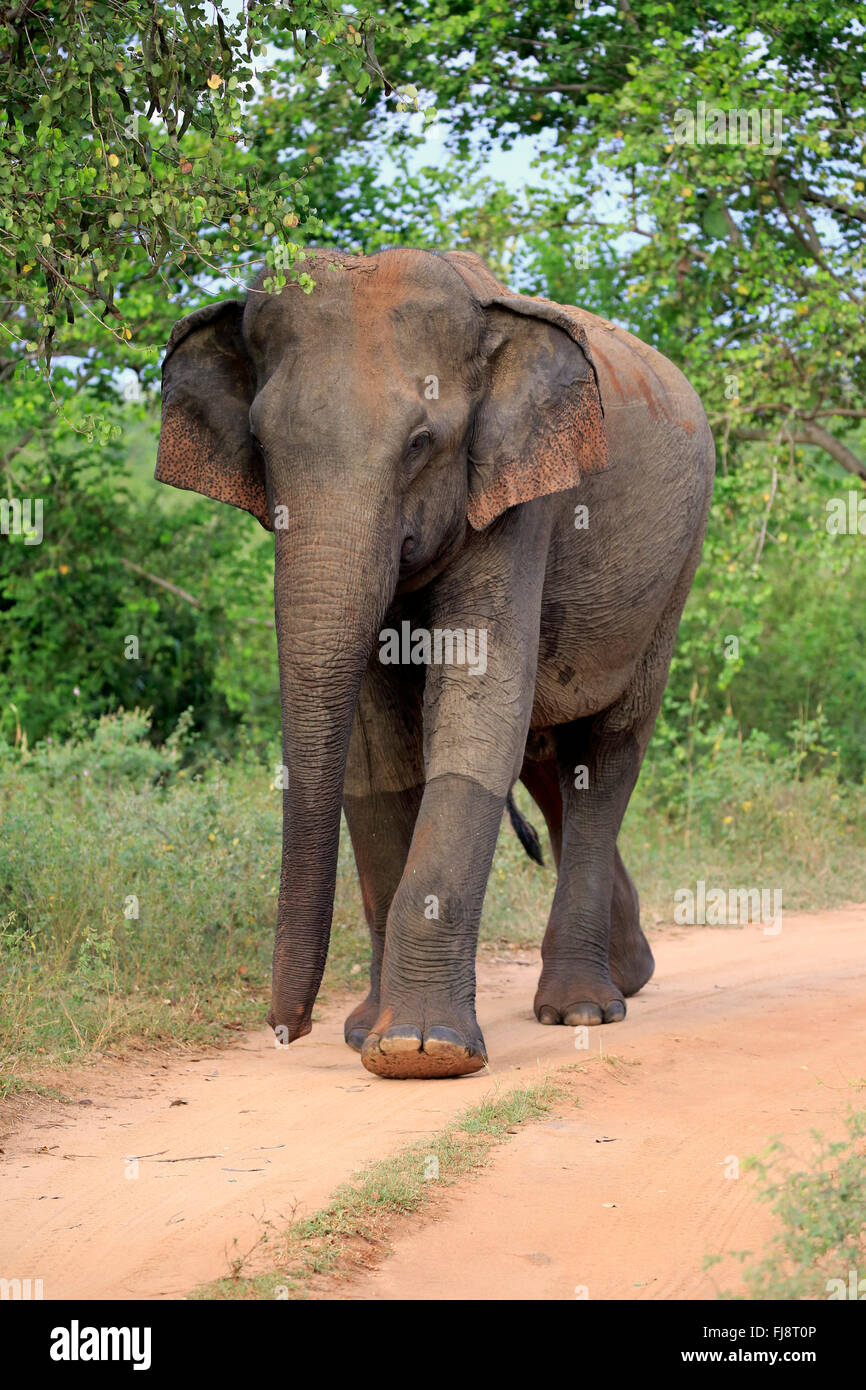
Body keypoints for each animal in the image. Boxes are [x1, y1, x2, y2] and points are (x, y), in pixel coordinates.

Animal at [156, 247, 714, 1080]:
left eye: (421, 442)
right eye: (260, 445)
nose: (288, 1029)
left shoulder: (522, 498)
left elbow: (477, 711)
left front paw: (421, 1051)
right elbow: (376, 748)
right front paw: (368, 1033)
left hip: (672, 577)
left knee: (607, 753)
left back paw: (583, 1007)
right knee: (546, 757)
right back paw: (629, 973)